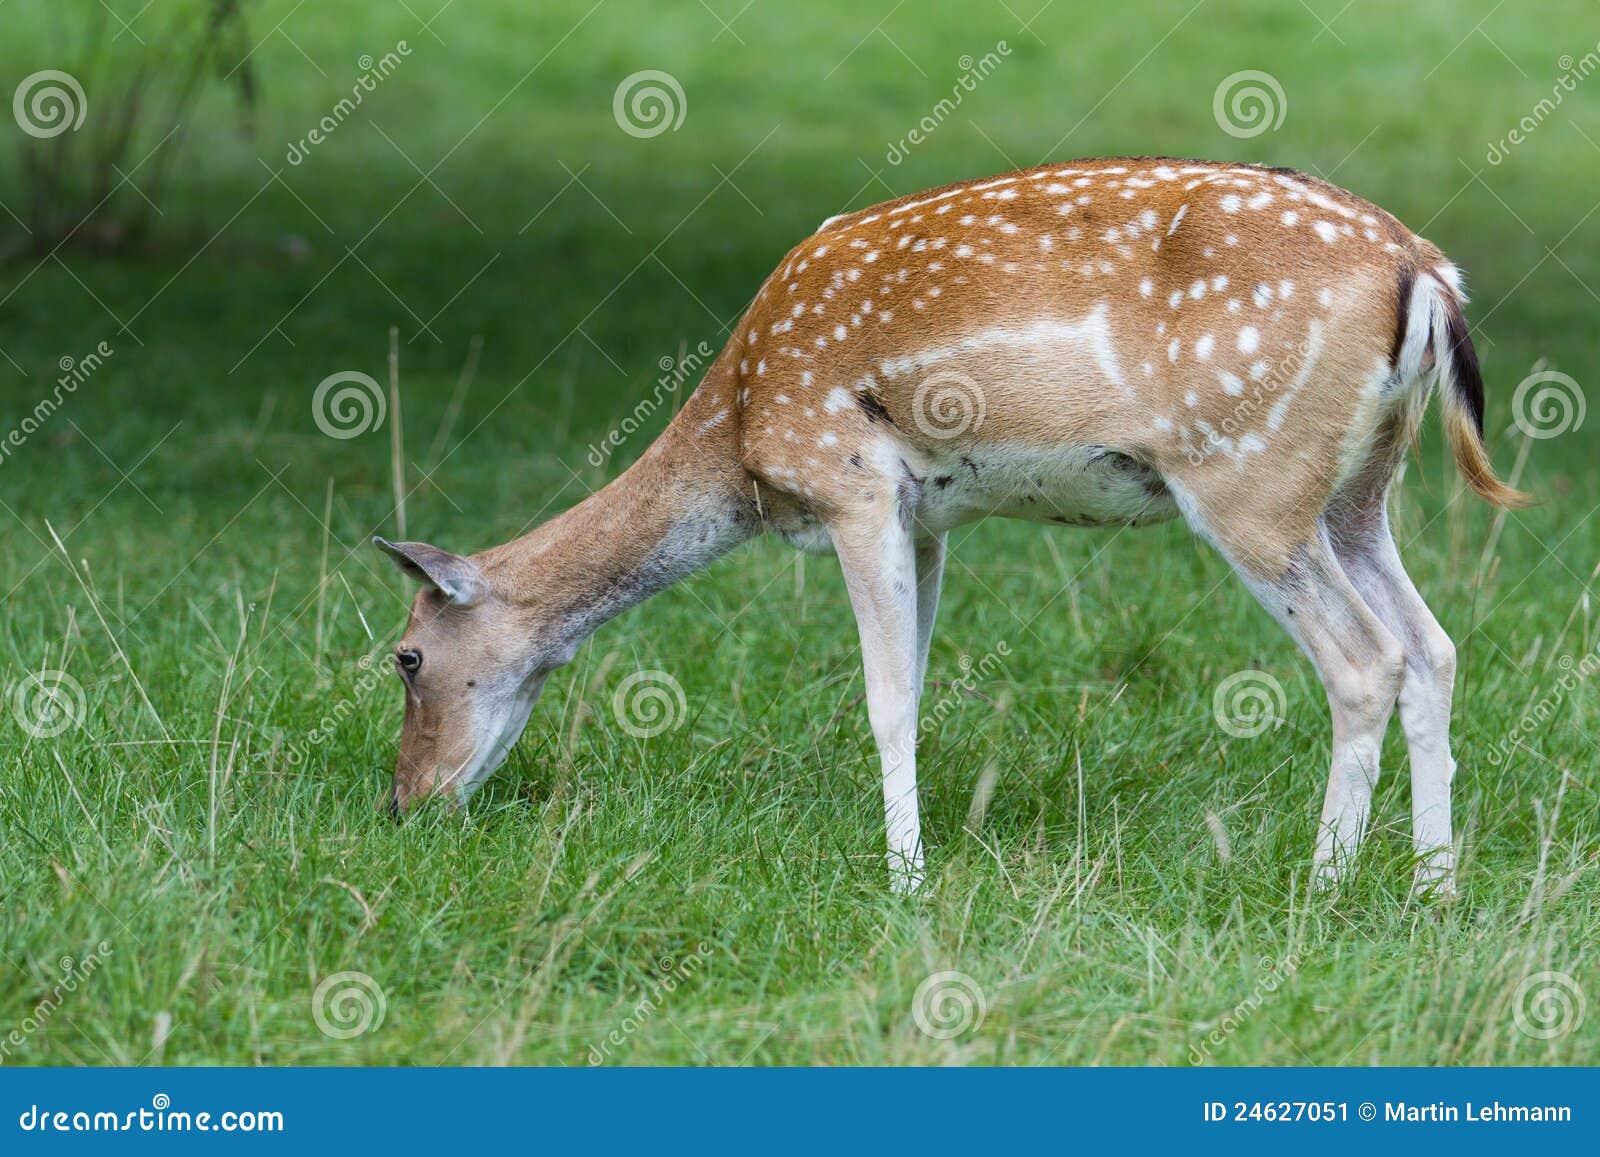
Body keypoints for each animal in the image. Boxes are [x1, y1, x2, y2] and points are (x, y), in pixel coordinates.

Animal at [374, 157, 1525, 896]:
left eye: (406, 654)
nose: (401, 804)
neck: (741, 431)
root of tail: (1427, 275)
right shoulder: (930, 517)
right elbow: (919, 690)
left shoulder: (849, 481)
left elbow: (884, 698)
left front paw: (903, 882)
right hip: (1355, 491)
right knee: (1433, 646)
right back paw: (1434, 887)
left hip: (1251, 477)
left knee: (1366, 659)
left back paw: (1324, 885)